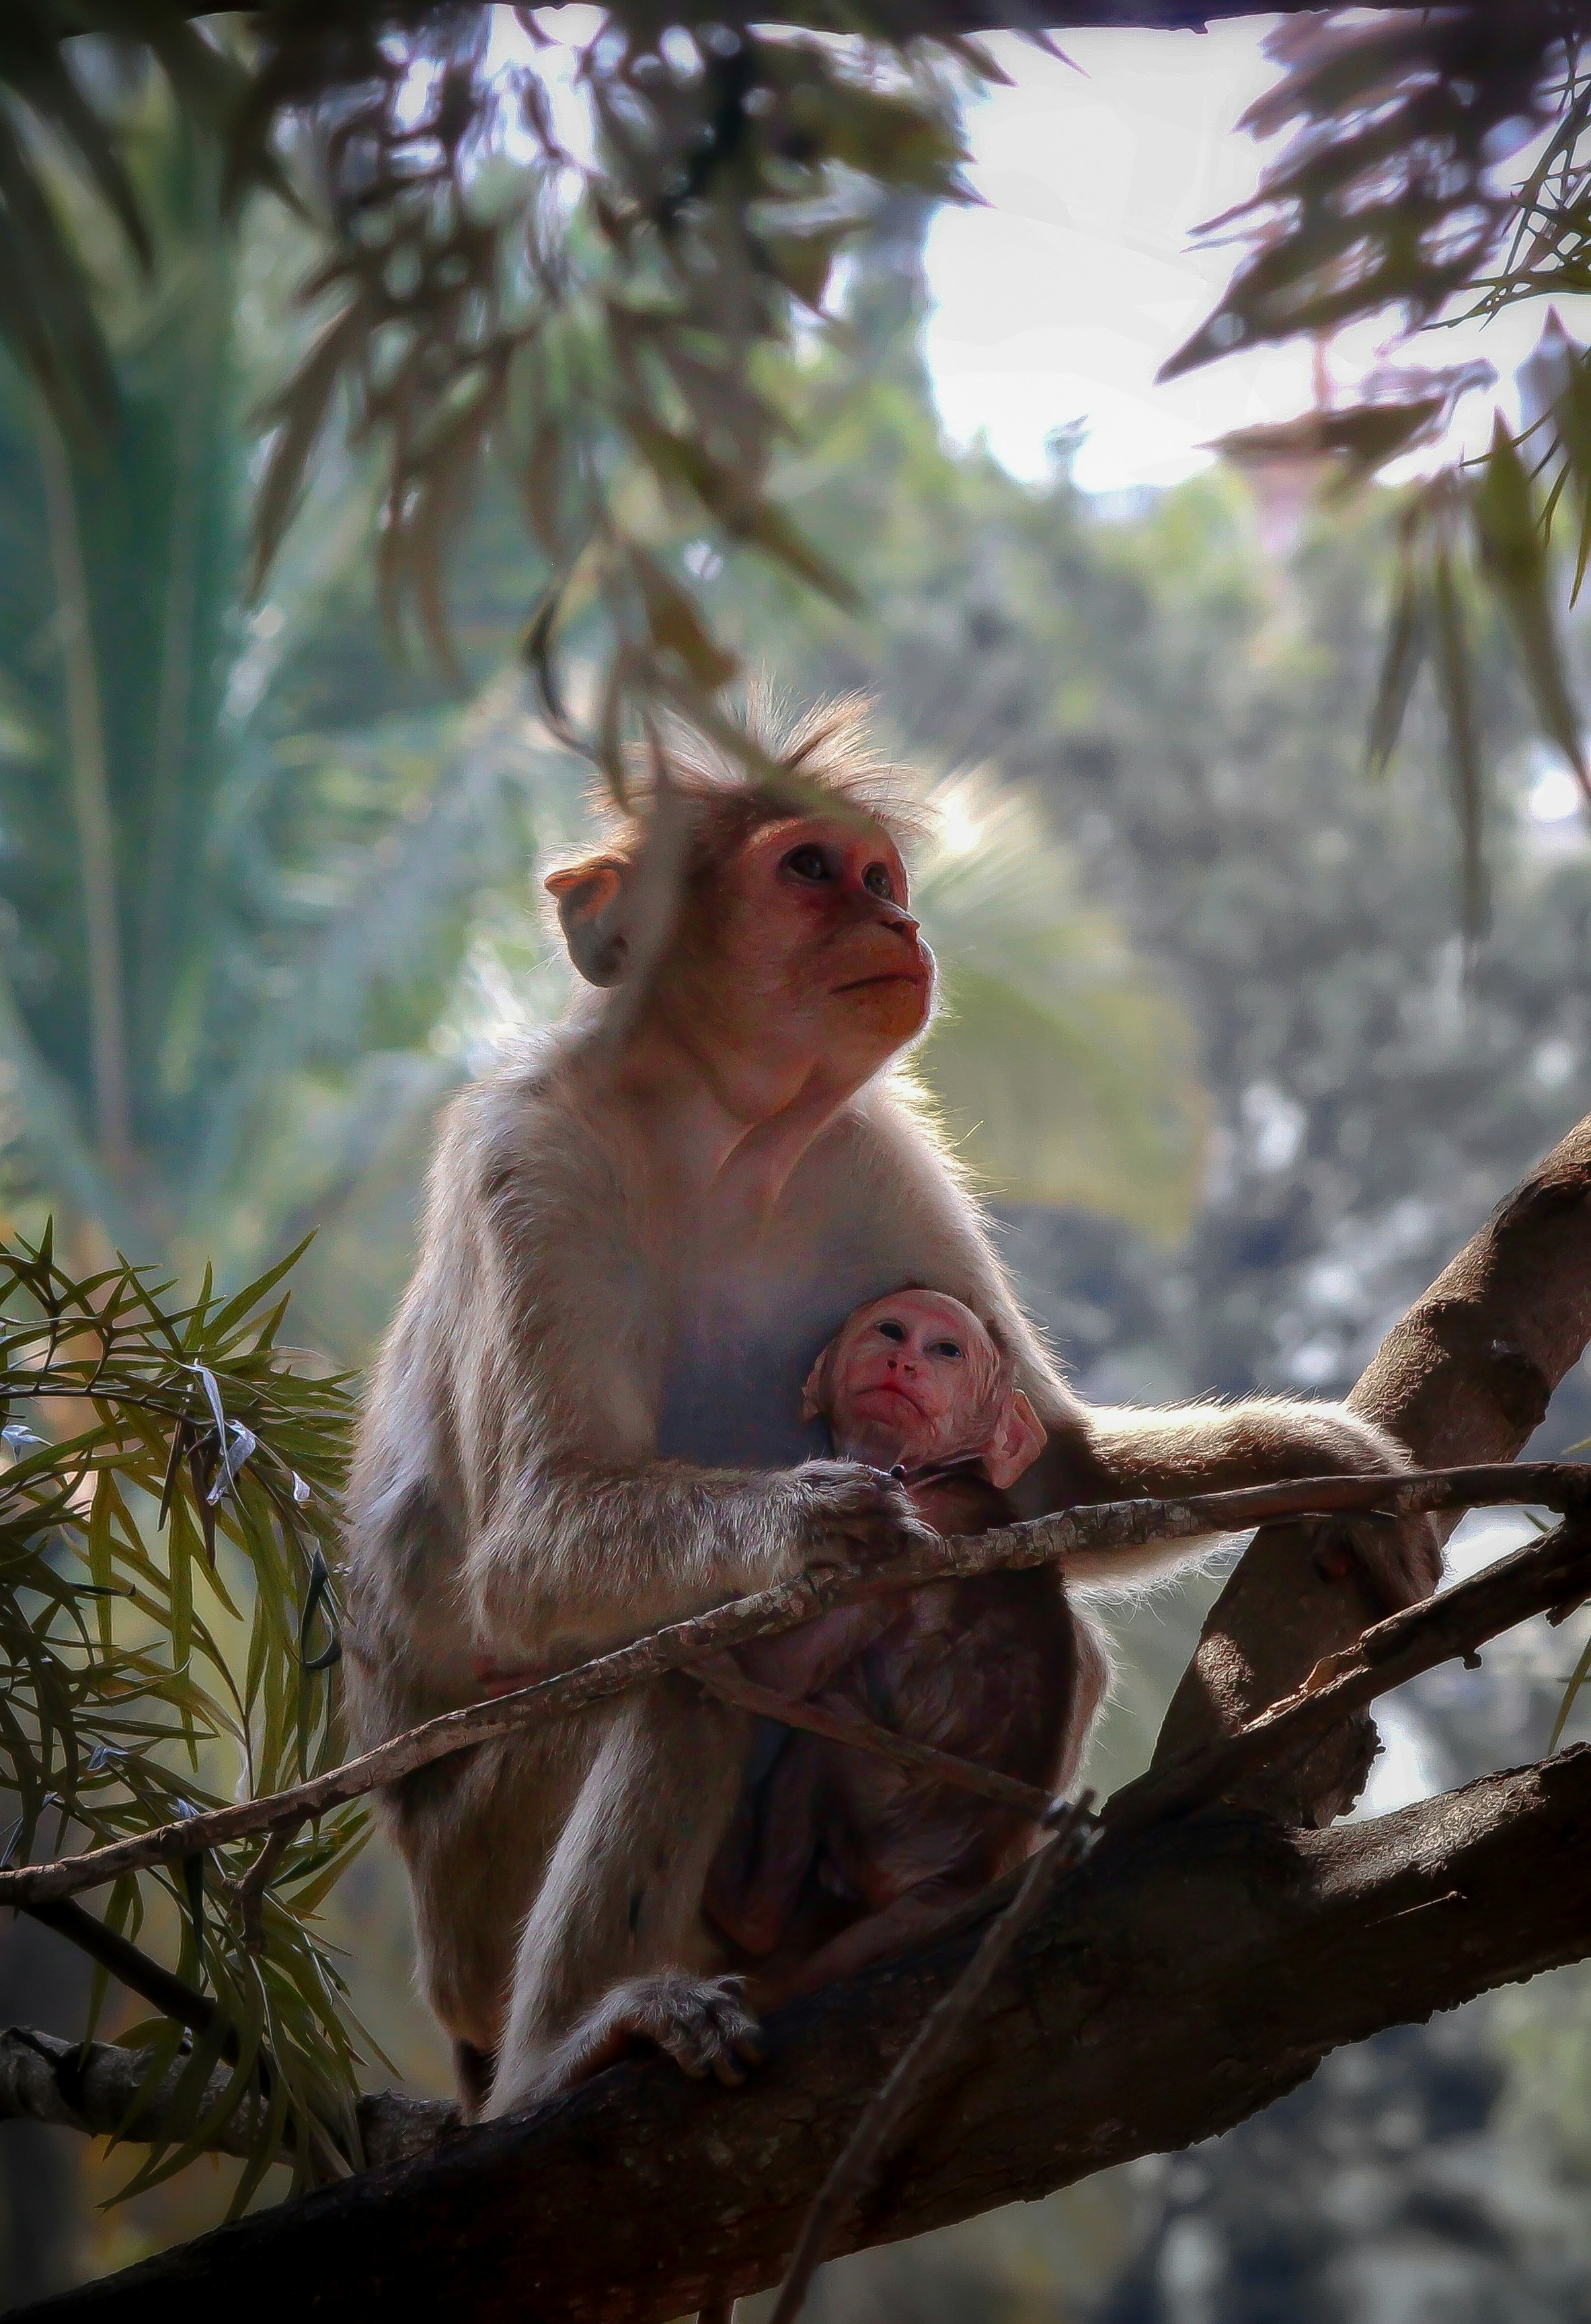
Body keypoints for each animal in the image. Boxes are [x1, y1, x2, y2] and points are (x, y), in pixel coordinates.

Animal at [700, 1287, 1110, 2001]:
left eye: (947, 1350)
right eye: (890, 1329)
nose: (904, 1360)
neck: (942, 1471)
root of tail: (962, 1881)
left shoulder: (912, 1530)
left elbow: (780, 1674)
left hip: (892, 1824)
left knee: (830, 1719)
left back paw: (747, 1913)